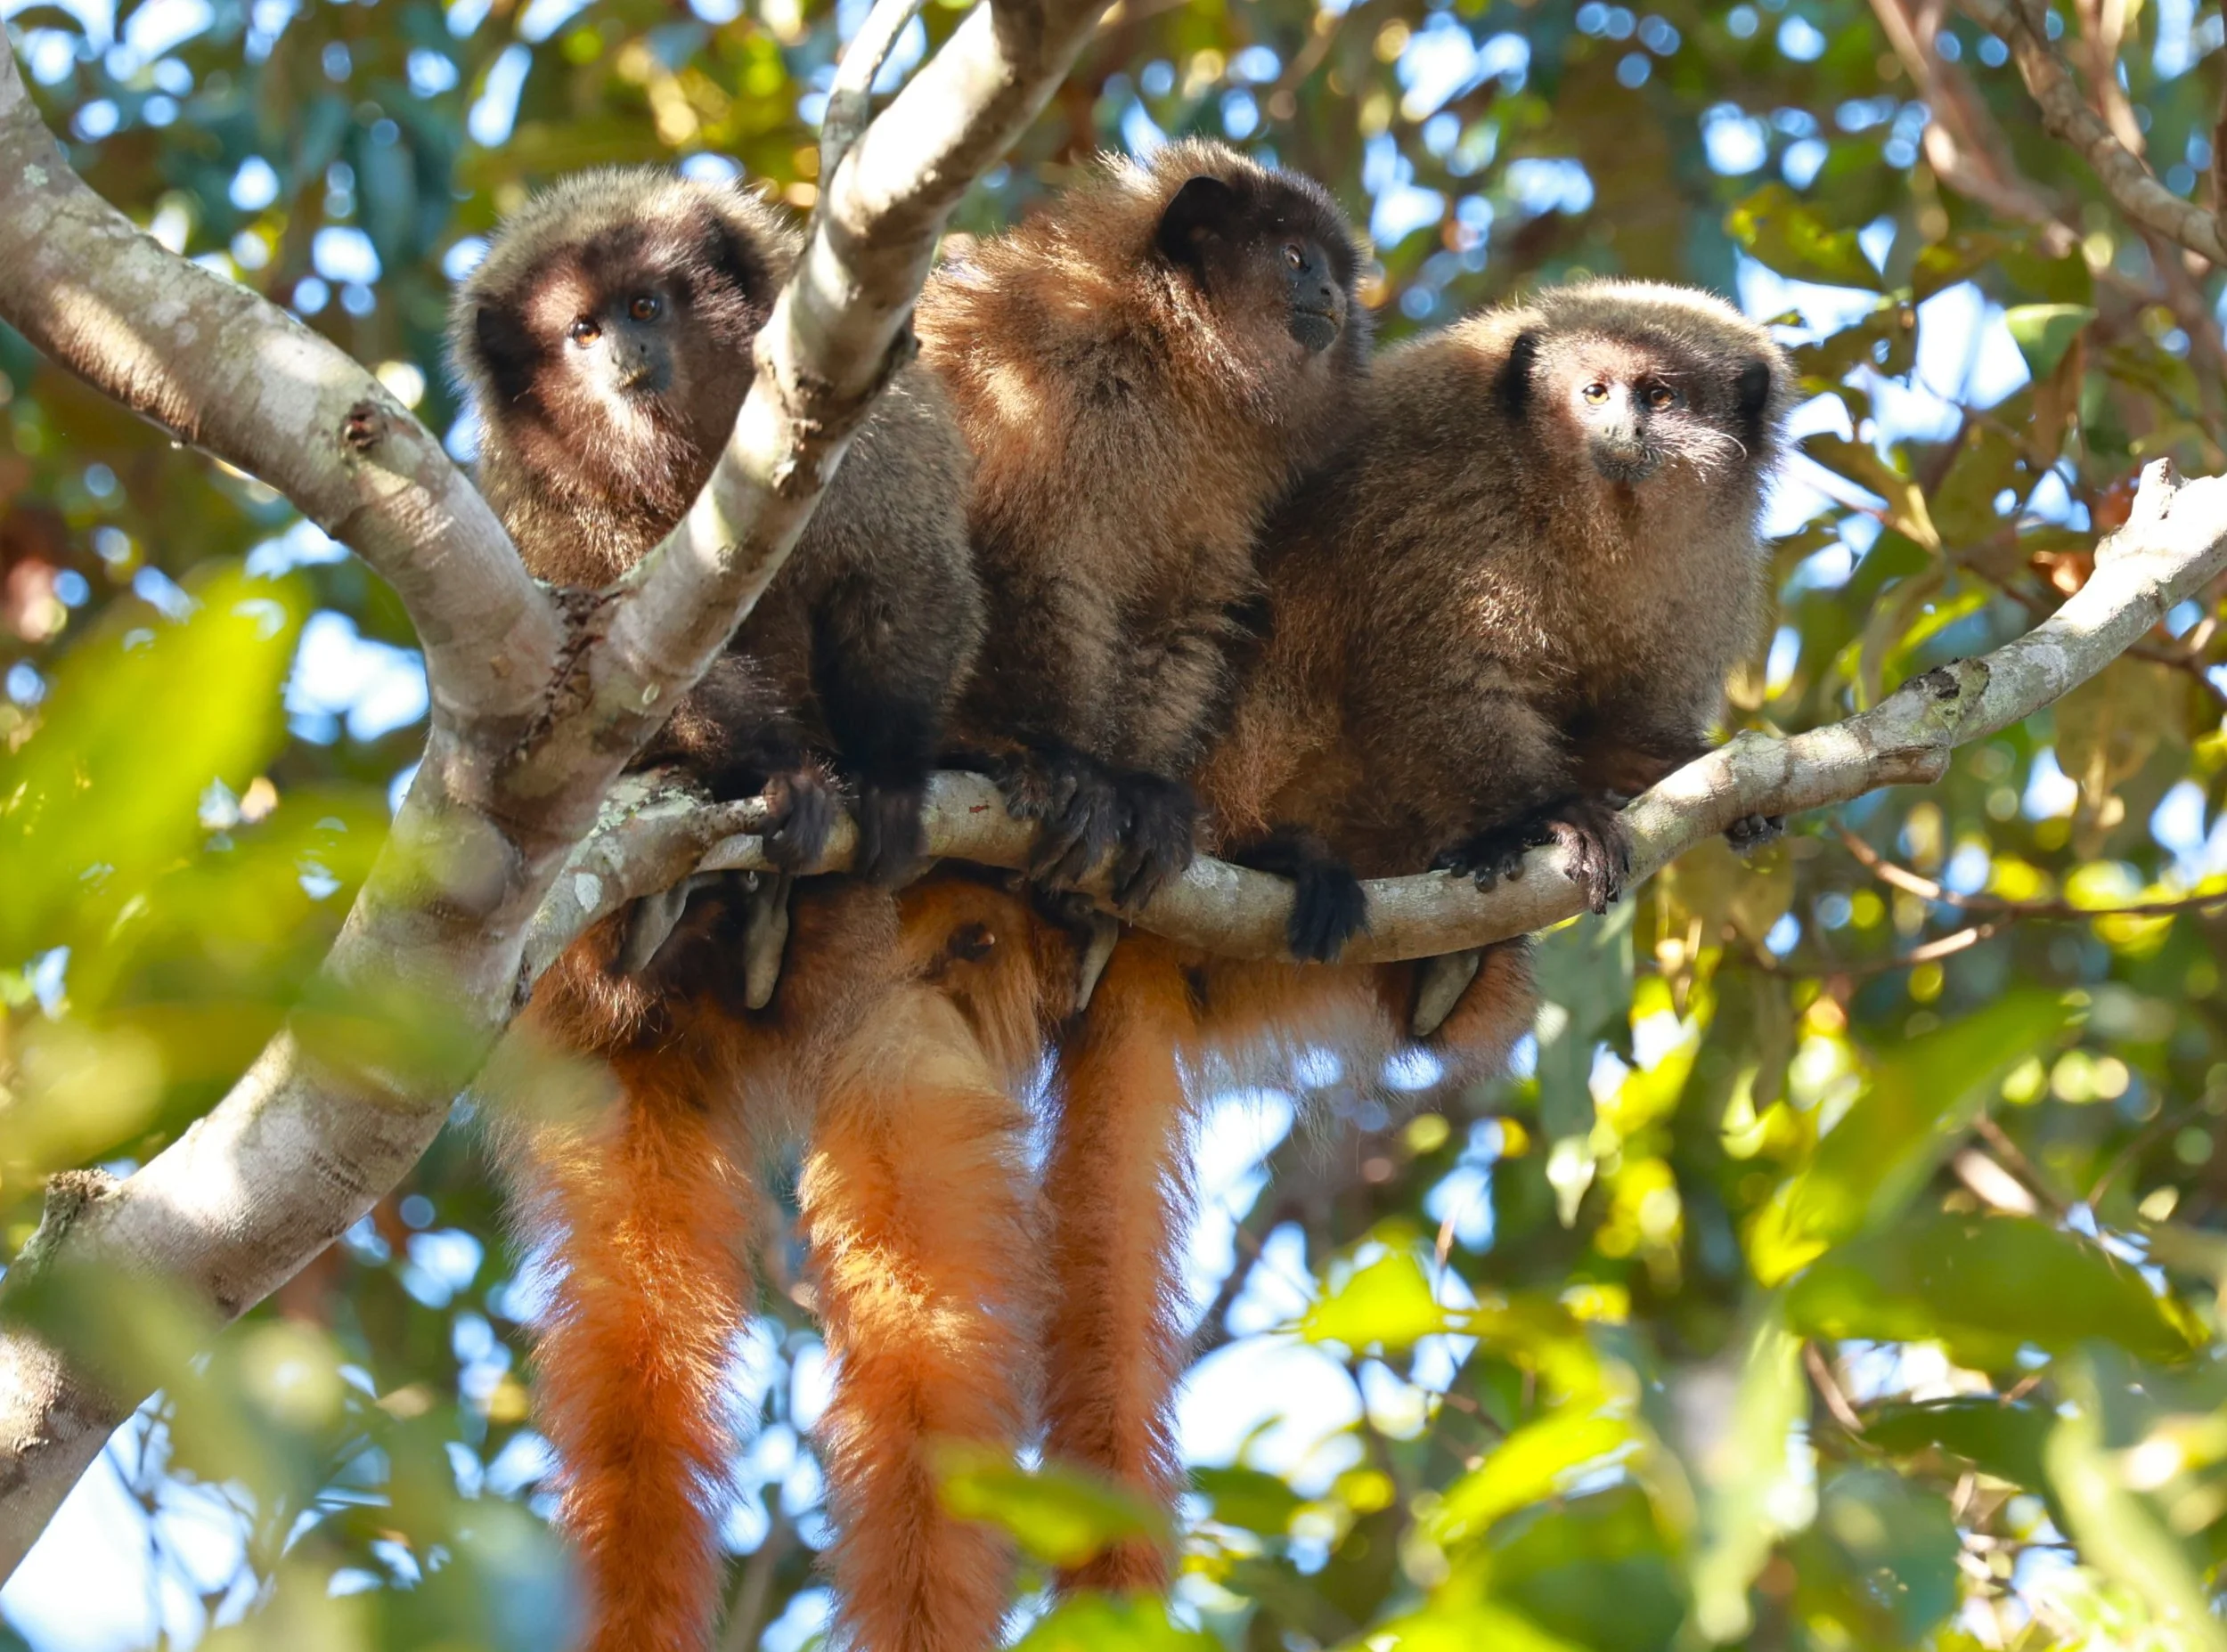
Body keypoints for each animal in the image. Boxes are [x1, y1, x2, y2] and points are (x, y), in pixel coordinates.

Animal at [453, 169, 1038, 1652]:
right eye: (578, 327)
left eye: (649, 304)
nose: (619, 355)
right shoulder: (537, 502)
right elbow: (612, 661)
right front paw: (777, 775)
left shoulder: (876, 423)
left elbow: (905, 585)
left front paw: (880, 776)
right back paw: (686, 904)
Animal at [914, 138, 1371, 913]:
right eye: (1295, 257)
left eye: (1335, 272)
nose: (1333, 296)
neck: (1163, 358)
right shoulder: (1056, 381)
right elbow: (1032, 559)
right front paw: (1064, 764)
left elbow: (1178, 612)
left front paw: (1143, 791)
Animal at [1029, 279, 1795, 1590]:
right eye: (1594, 387)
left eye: (1660, 394)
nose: (1615, 425)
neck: (1593, 517)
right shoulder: (1448, 506)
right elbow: (1432, 678)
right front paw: (1549, 816)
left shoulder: (1703, 580)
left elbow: (1617, 717)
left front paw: (1703, 775)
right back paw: (1276, 855)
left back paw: (1445, 966)